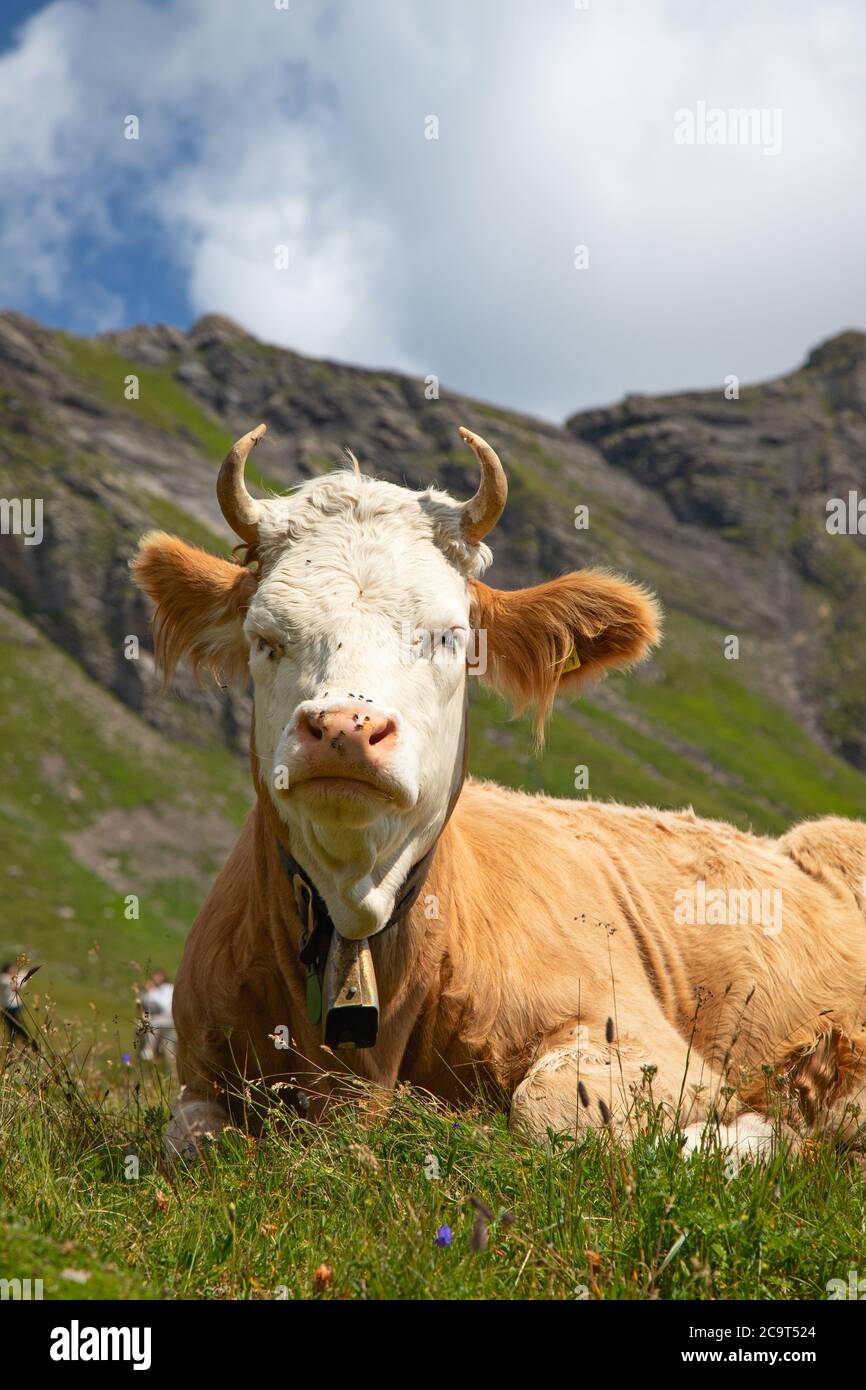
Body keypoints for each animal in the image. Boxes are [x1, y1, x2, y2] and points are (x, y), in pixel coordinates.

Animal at [133, 423, 866, 1163]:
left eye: (448, 636)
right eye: (266, 639)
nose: (343, 727)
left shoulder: (642, 1040)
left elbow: (553, 1108)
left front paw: (759, 1134)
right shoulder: (200, 1073)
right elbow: (195, 1142)